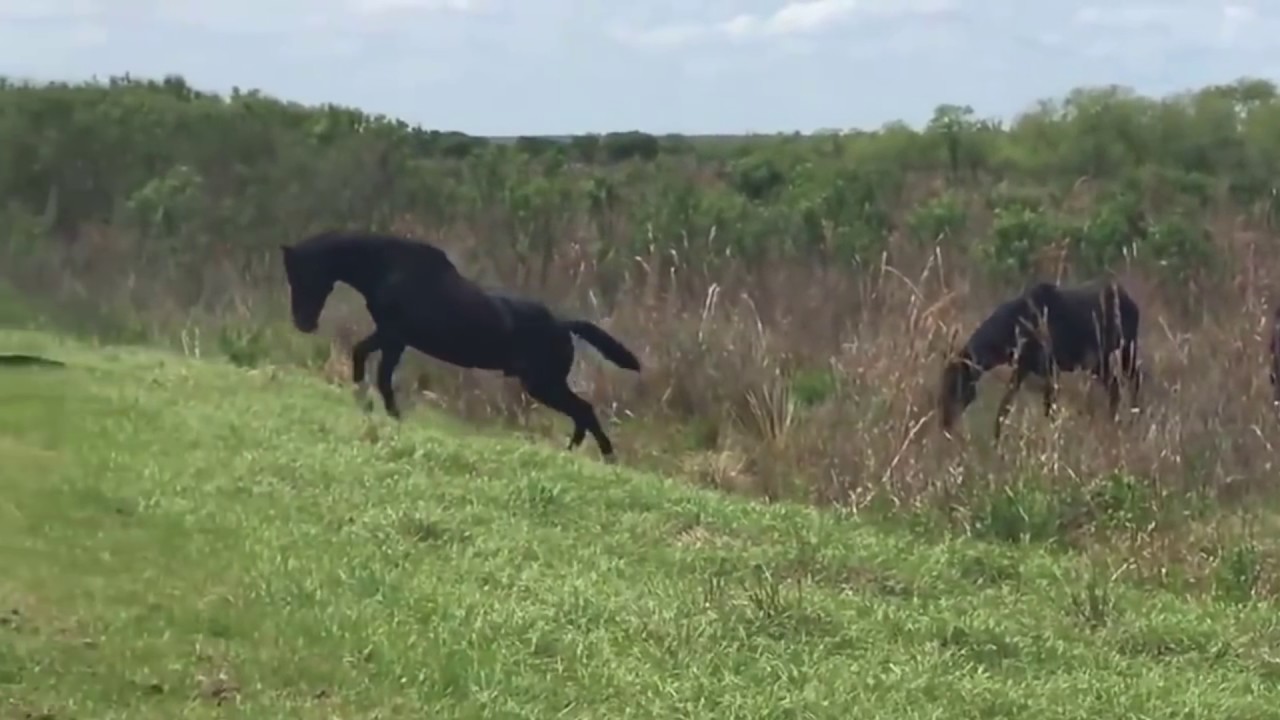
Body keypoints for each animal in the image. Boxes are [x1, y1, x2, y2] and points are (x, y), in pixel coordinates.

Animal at [279, 230, 642, 463]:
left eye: (303, 275)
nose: (303, 323)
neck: (388, 268)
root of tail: (563, 325)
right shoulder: (395, 340)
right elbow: (381, 376)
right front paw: (387, 413)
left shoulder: (393, 335)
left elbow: (363, 358)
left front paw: (365, 401)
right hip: (545, 384)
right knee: (581, 413)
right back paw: (573, 453)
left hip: (543, 384)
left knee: (584, 411)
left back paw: (604, 456)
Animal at [938, 280, 1142, 441]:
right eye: (944, 383)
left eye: (956, 384)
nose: (945, 423)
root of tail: (1132, 303)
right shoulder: (1022, 368)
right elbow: (1004, 407)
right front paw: (996, 439)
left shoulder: (1051, 369)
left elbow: (1048, 409)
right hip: (1099, 361)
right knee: (1115, 387)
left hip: (1127, 349)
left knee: (1134, 380)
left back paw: (1133, 418)